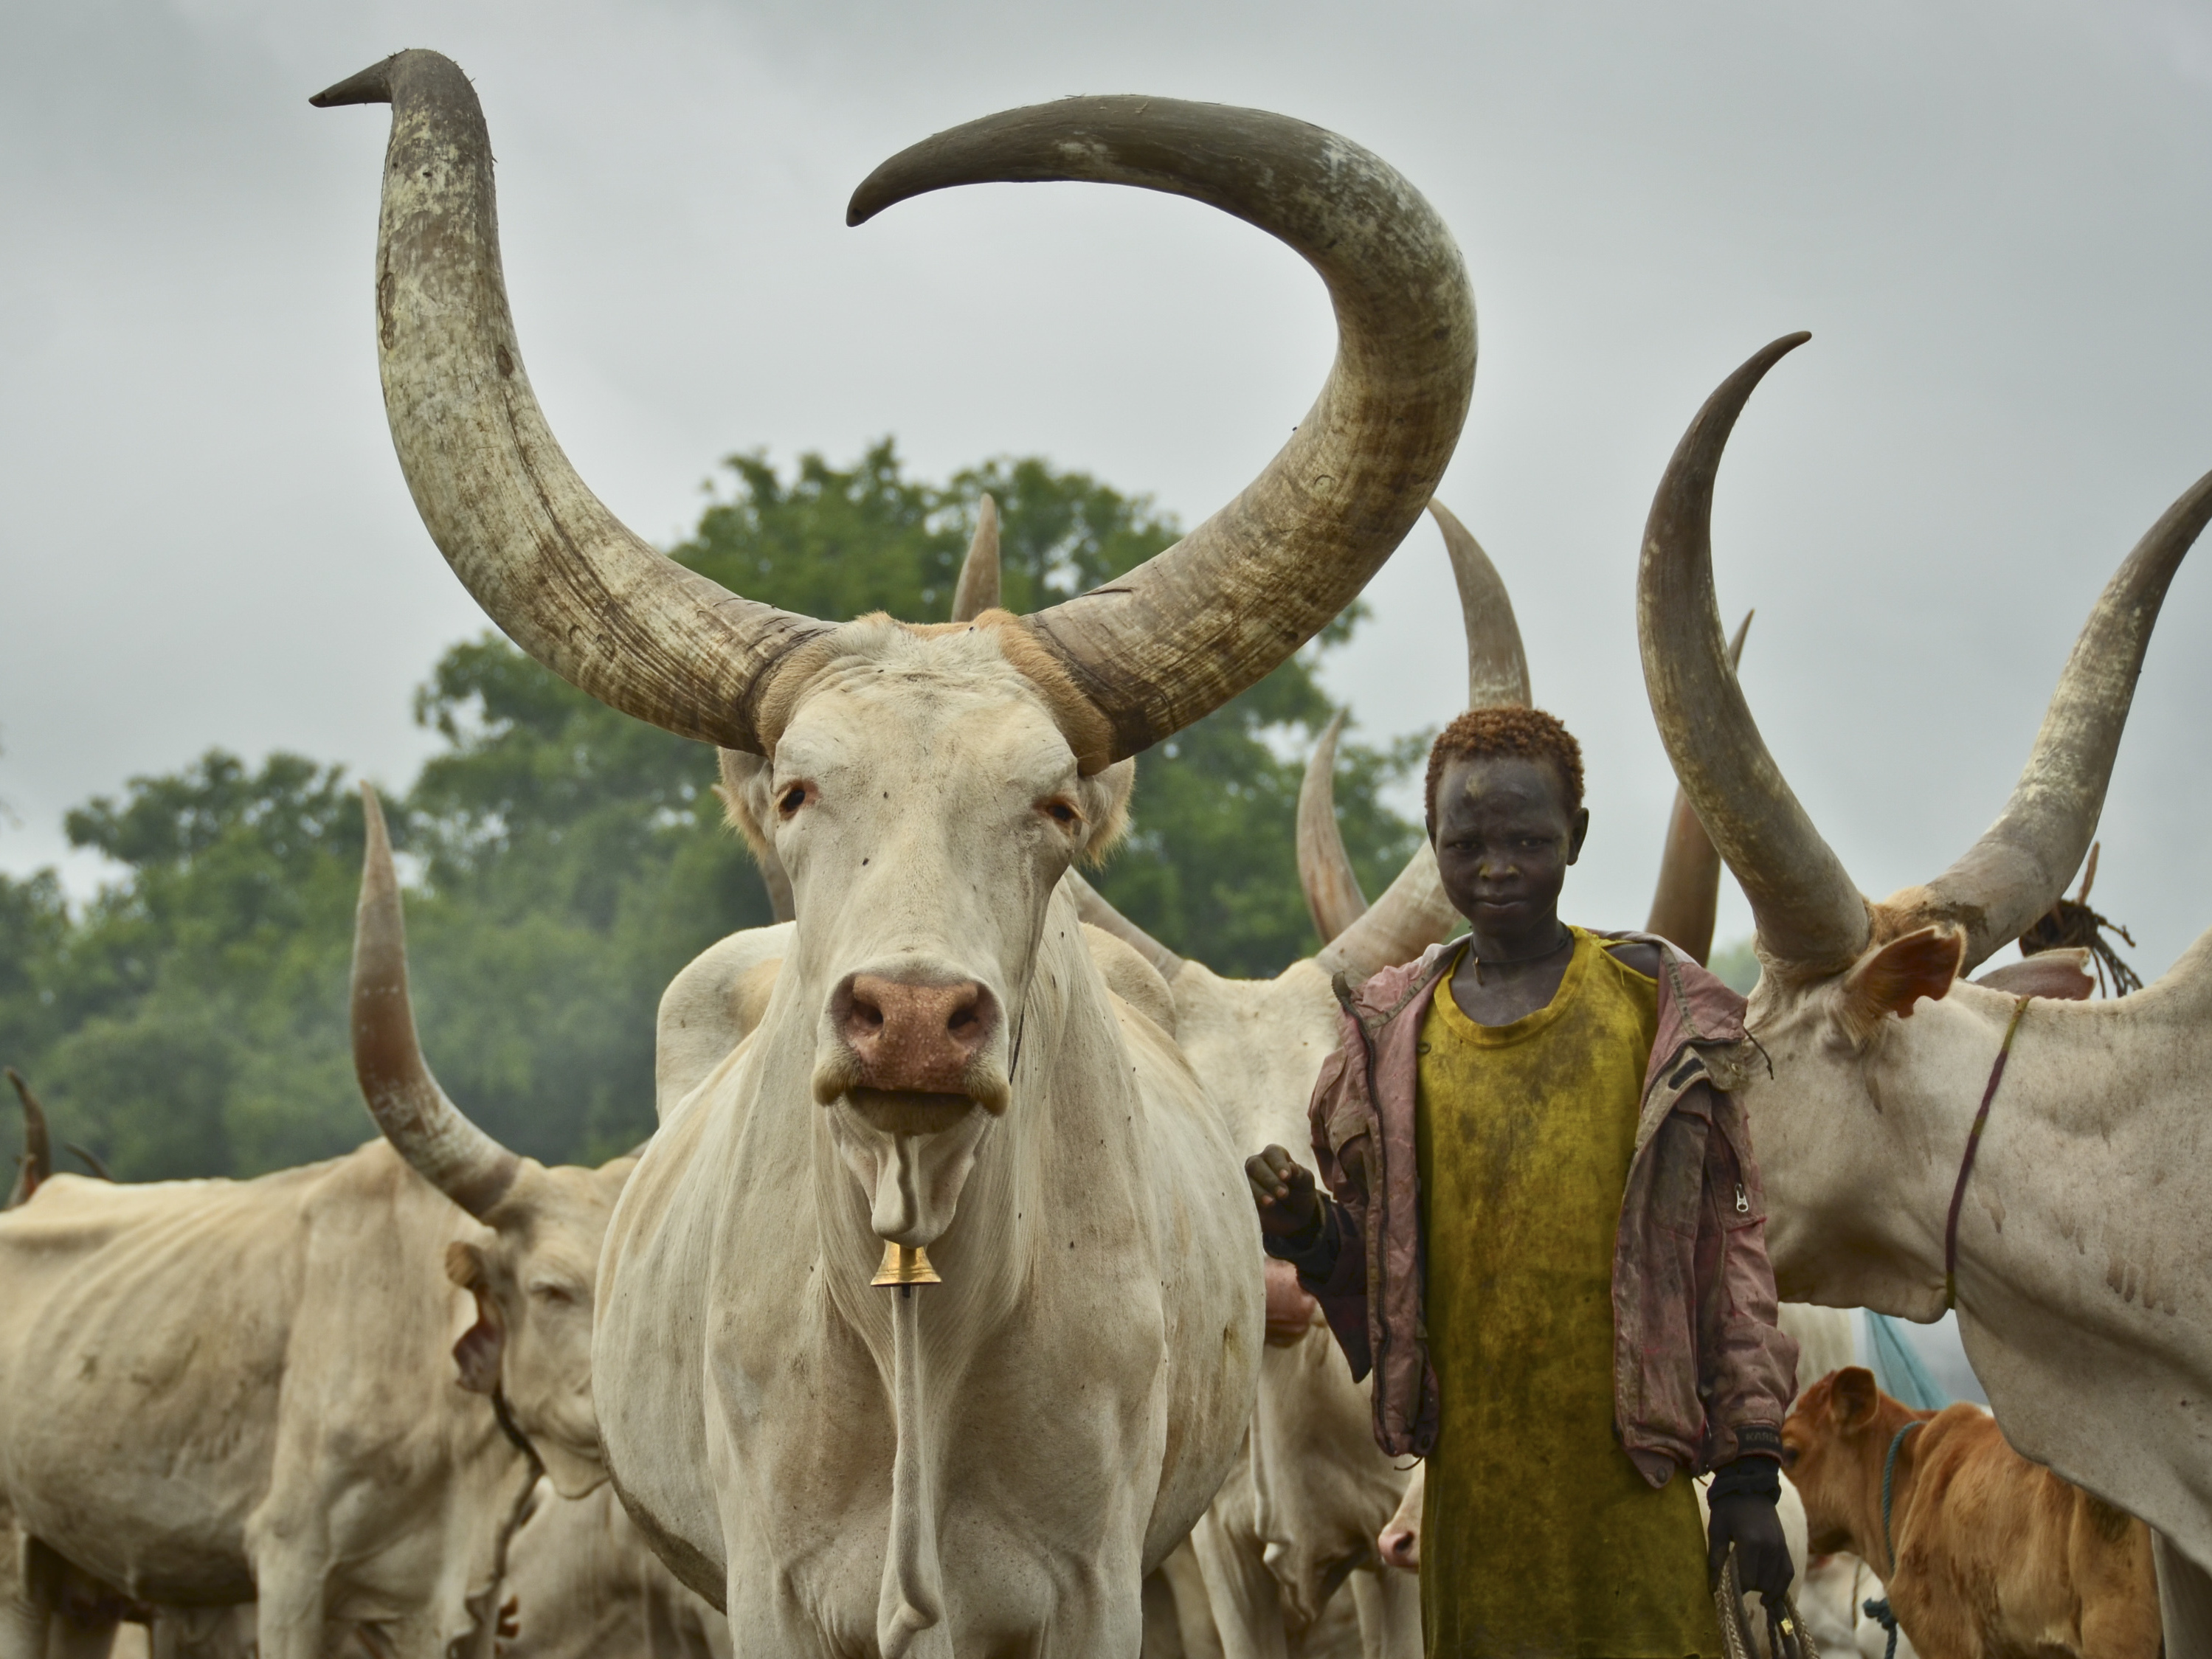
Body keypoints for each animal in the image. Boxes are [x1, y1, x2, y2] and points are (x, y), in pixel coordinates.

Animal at [312, 48, 1474, 1658]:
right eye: (799, 790)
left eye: (1054, 804)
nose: (914, 1017)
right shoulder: (768, 1585)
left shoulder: (1102, 1580)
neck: (915, 1297)